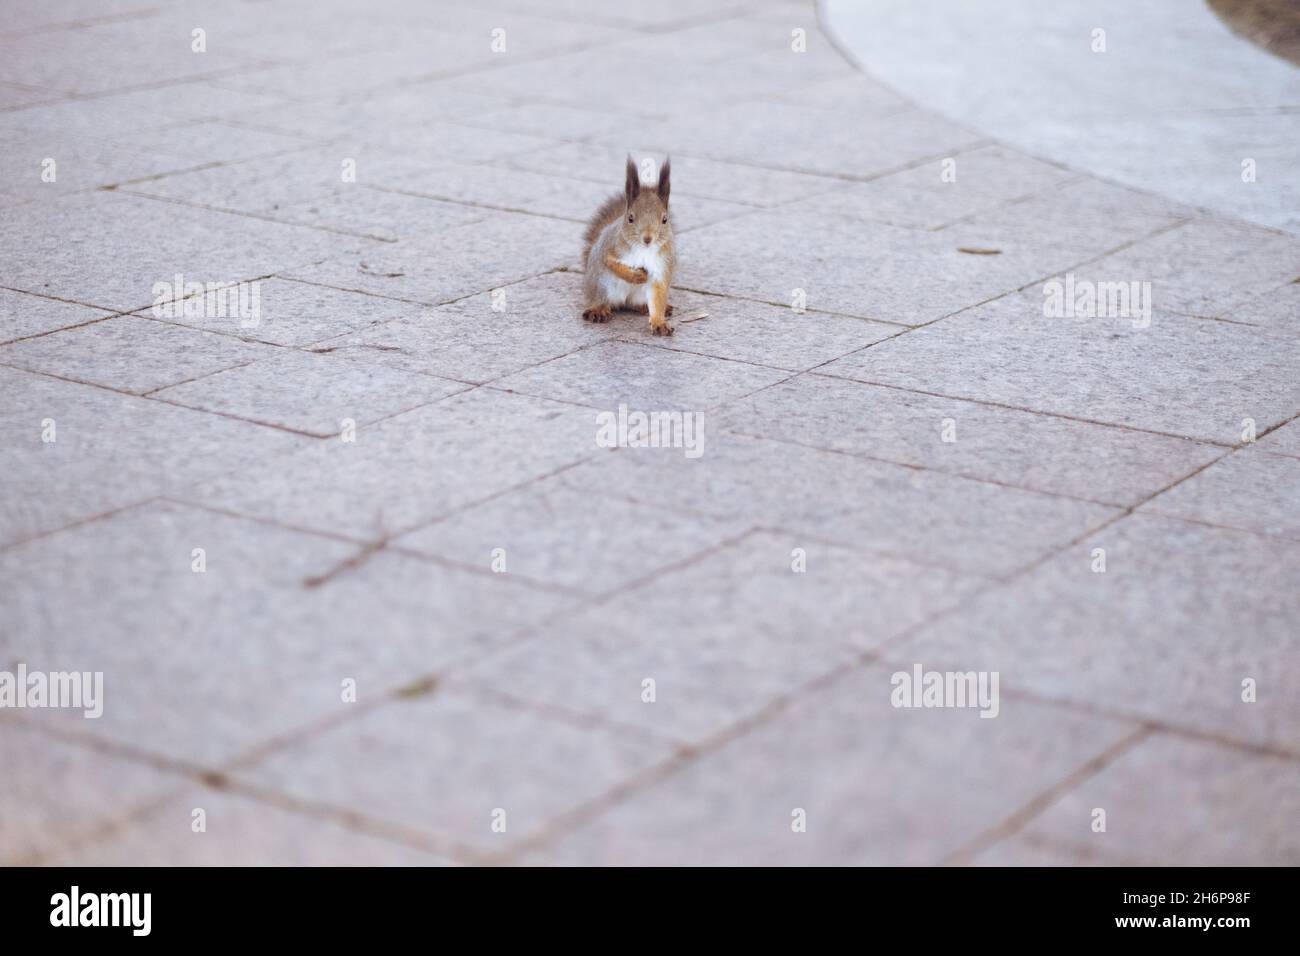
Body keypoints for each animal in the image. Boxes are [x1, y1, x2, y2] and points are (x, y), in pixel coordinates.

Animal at [581, 156, 676, 336]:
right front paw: (635, 276)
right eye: (630, 218)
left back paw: (646, 307)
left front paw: (659, 322)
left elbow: (658, 295)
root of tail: (624, 301)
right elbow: (611, 263)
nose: (647, 238)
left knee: (636, 304)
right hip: (601, 285)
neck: (644, 250)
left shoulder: (662, 264)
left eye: (665, 219)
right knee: (602, 300)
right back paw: (599, 310)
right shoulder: (609, 247)